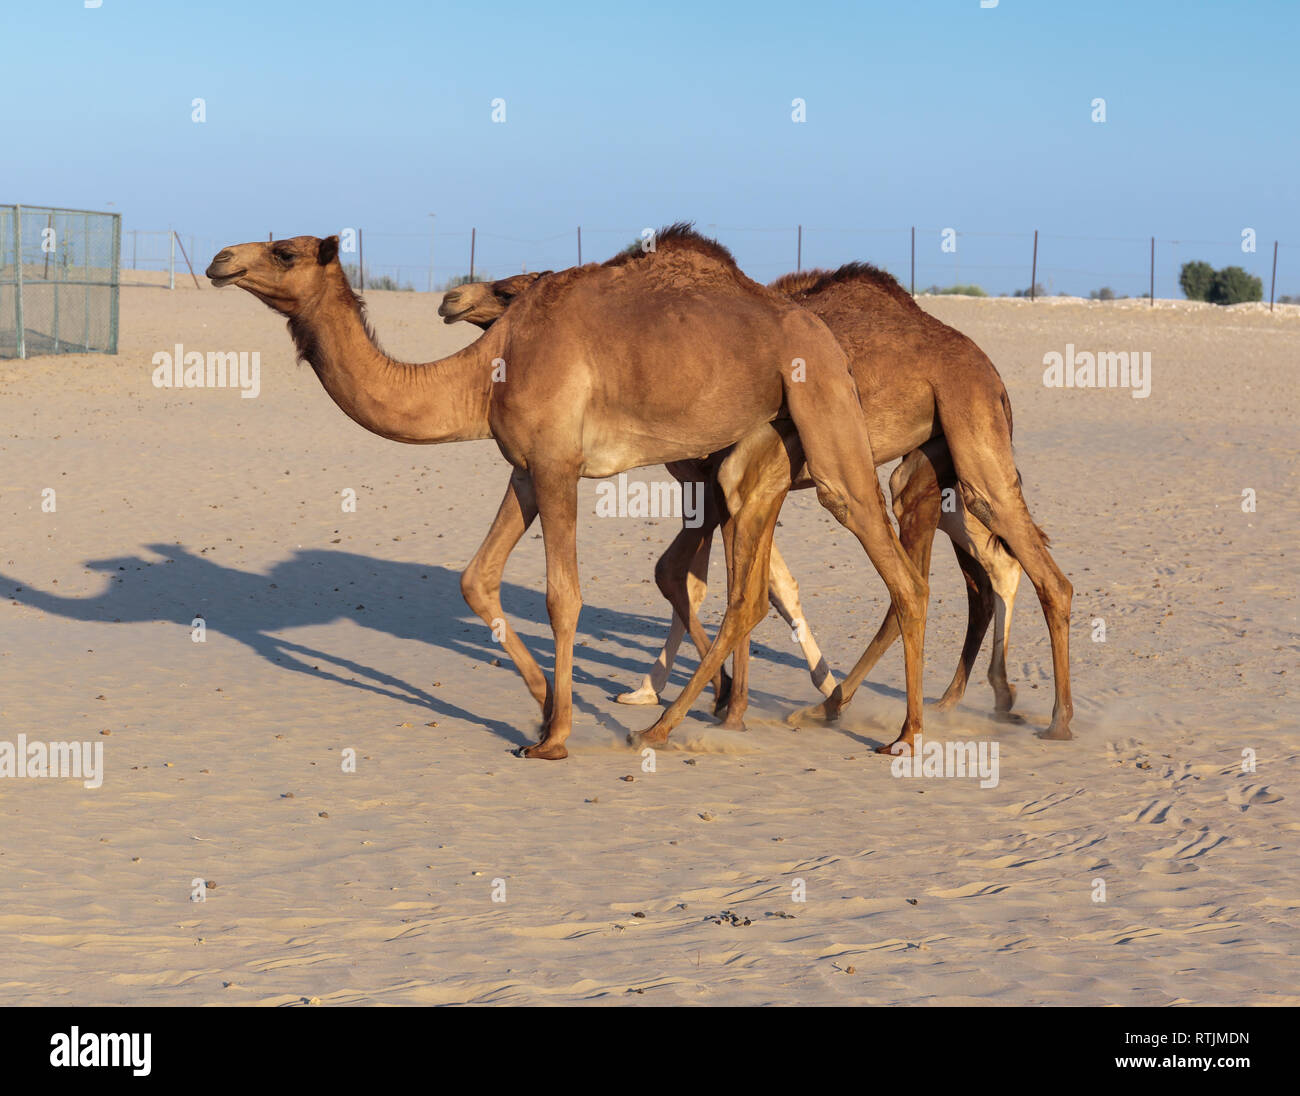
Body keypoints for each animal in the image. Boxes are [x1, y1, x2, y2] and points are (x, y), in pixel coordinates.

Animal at [205, 225, 932, 759]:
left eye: (285, 250)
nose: (220, 259)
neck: (483, 374)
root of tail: (819, 329)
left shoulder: (559, 466)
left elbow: (563, 595)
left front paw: (554, 736)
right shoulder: (525, 468)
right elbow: (476, 578)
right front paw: (543, 707)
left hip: (823, 408)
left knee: (894, 564)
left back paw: (903, 733)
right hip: (765, 443)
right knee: (753, 588)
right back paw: (677, 723)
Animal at [439, 263, 1068, 740]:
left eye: (508, 293)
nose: (452, 299)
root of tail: (988, 371)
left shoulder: (715, 476)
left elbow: (698, 577)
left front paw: (713, 701)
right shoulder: (720, 481)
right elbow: (729, 580)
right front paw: (694, 696)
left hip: (963, 438)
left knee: (992, 567)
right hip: (932, 469)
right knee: (984, 569)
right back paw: (953, 699)